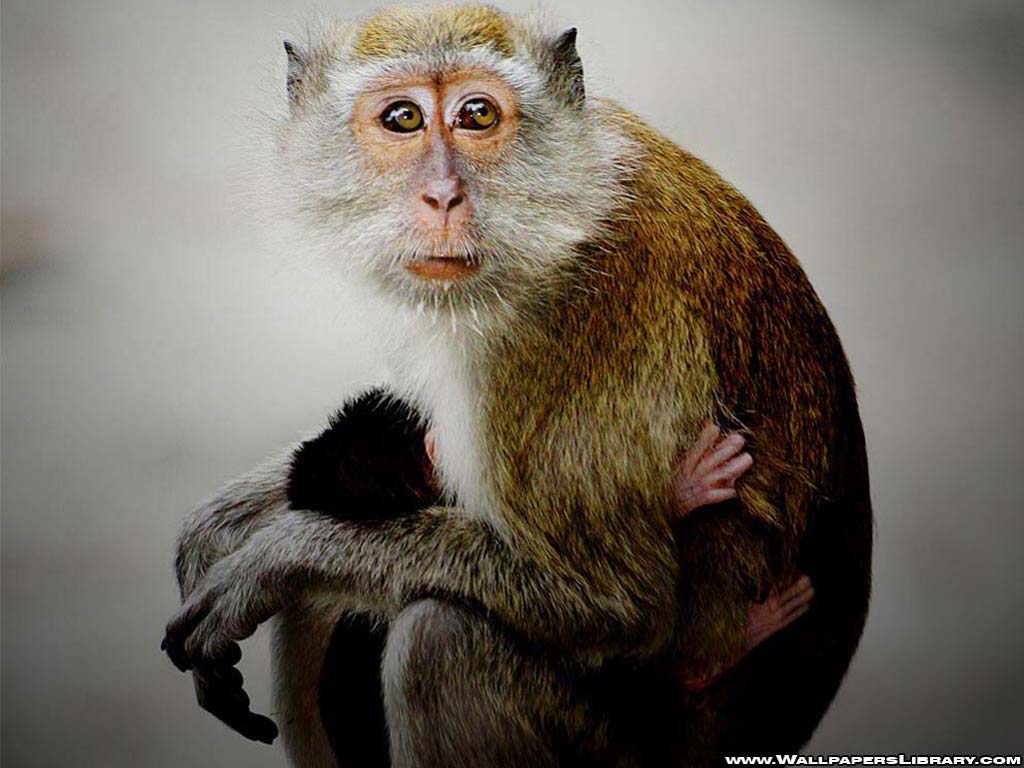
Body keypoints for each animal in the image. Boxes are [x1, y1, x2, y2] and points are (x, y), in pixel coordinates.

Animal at [163, 5, 871, 766]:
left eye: (477, 114)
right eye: (403, 119)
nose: (443, 195)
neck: (564, 213)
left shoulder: (563, 331)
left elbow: (613, 602)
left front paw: (275, 556)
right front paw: (217, 527)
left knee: (437, 642)